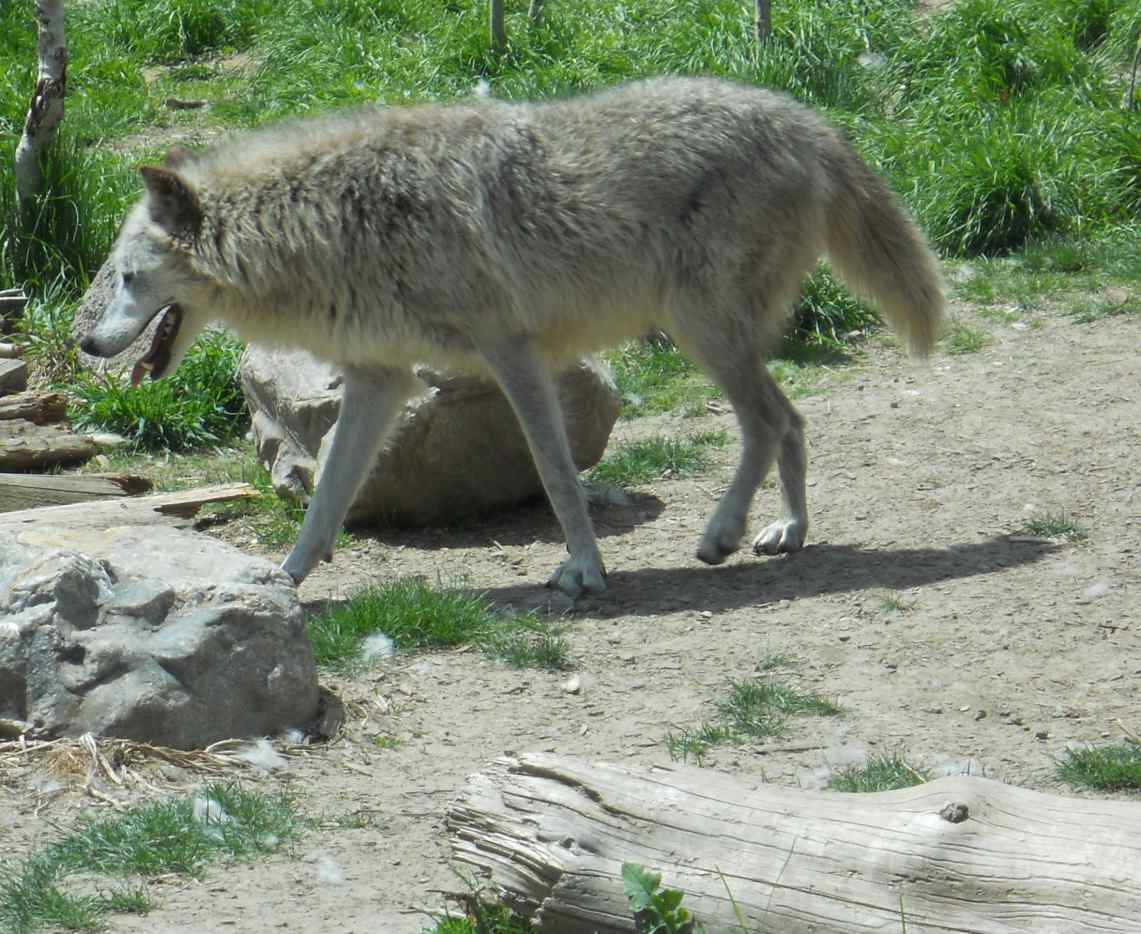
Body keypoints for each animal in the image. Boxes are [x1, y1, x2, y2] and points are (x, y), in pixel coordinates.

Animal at [81, 76, 944, 599]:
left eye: (124, 277)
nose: (88, 348)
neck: (326, 223)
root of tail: (805, 119)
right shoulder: (380, 380)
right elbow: (325, 498)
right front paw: (282, 581)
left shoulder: (511, 354)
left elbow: (557, 477)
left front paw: (586, 569)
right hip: (710, 334)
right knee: (789, 420)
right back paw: (786, 533)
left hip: (700, 331)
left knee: (769, 422)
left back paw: (724, 535)